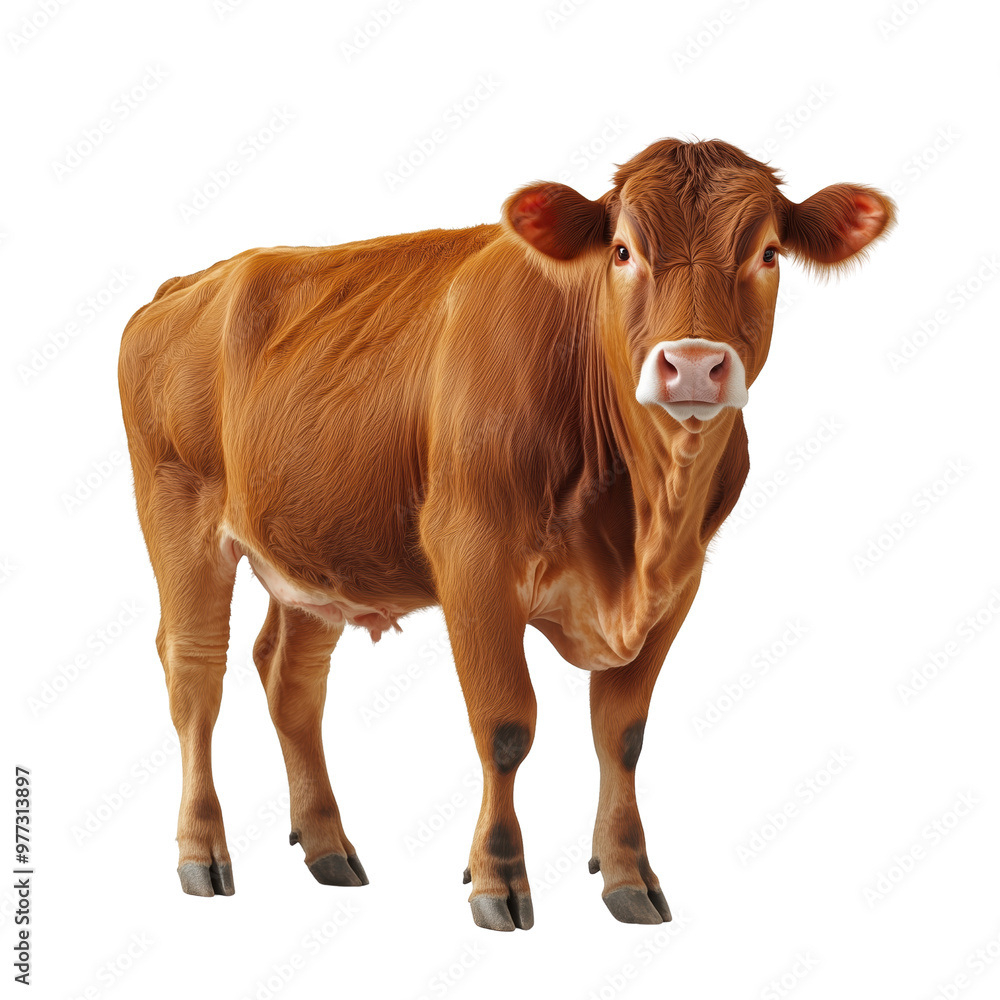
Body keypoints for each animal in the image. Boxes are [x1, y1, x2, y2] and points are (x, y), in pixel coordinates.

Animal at [118, 138, 894, 931]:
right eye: (622, 251)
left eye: (768, 253)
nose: (695, 366)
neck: (642, 520)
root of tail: (191, 281)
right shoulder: (472, 557)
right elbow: (506, 726)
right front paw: (498, 877)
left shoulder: (681, 581)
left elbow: (623, 734)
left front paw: (627, 874)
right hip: (177, 511)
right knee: (194, 674)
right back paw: (202, 852)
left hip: (317, 549)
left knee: (291, 678)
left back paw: (329, 846)